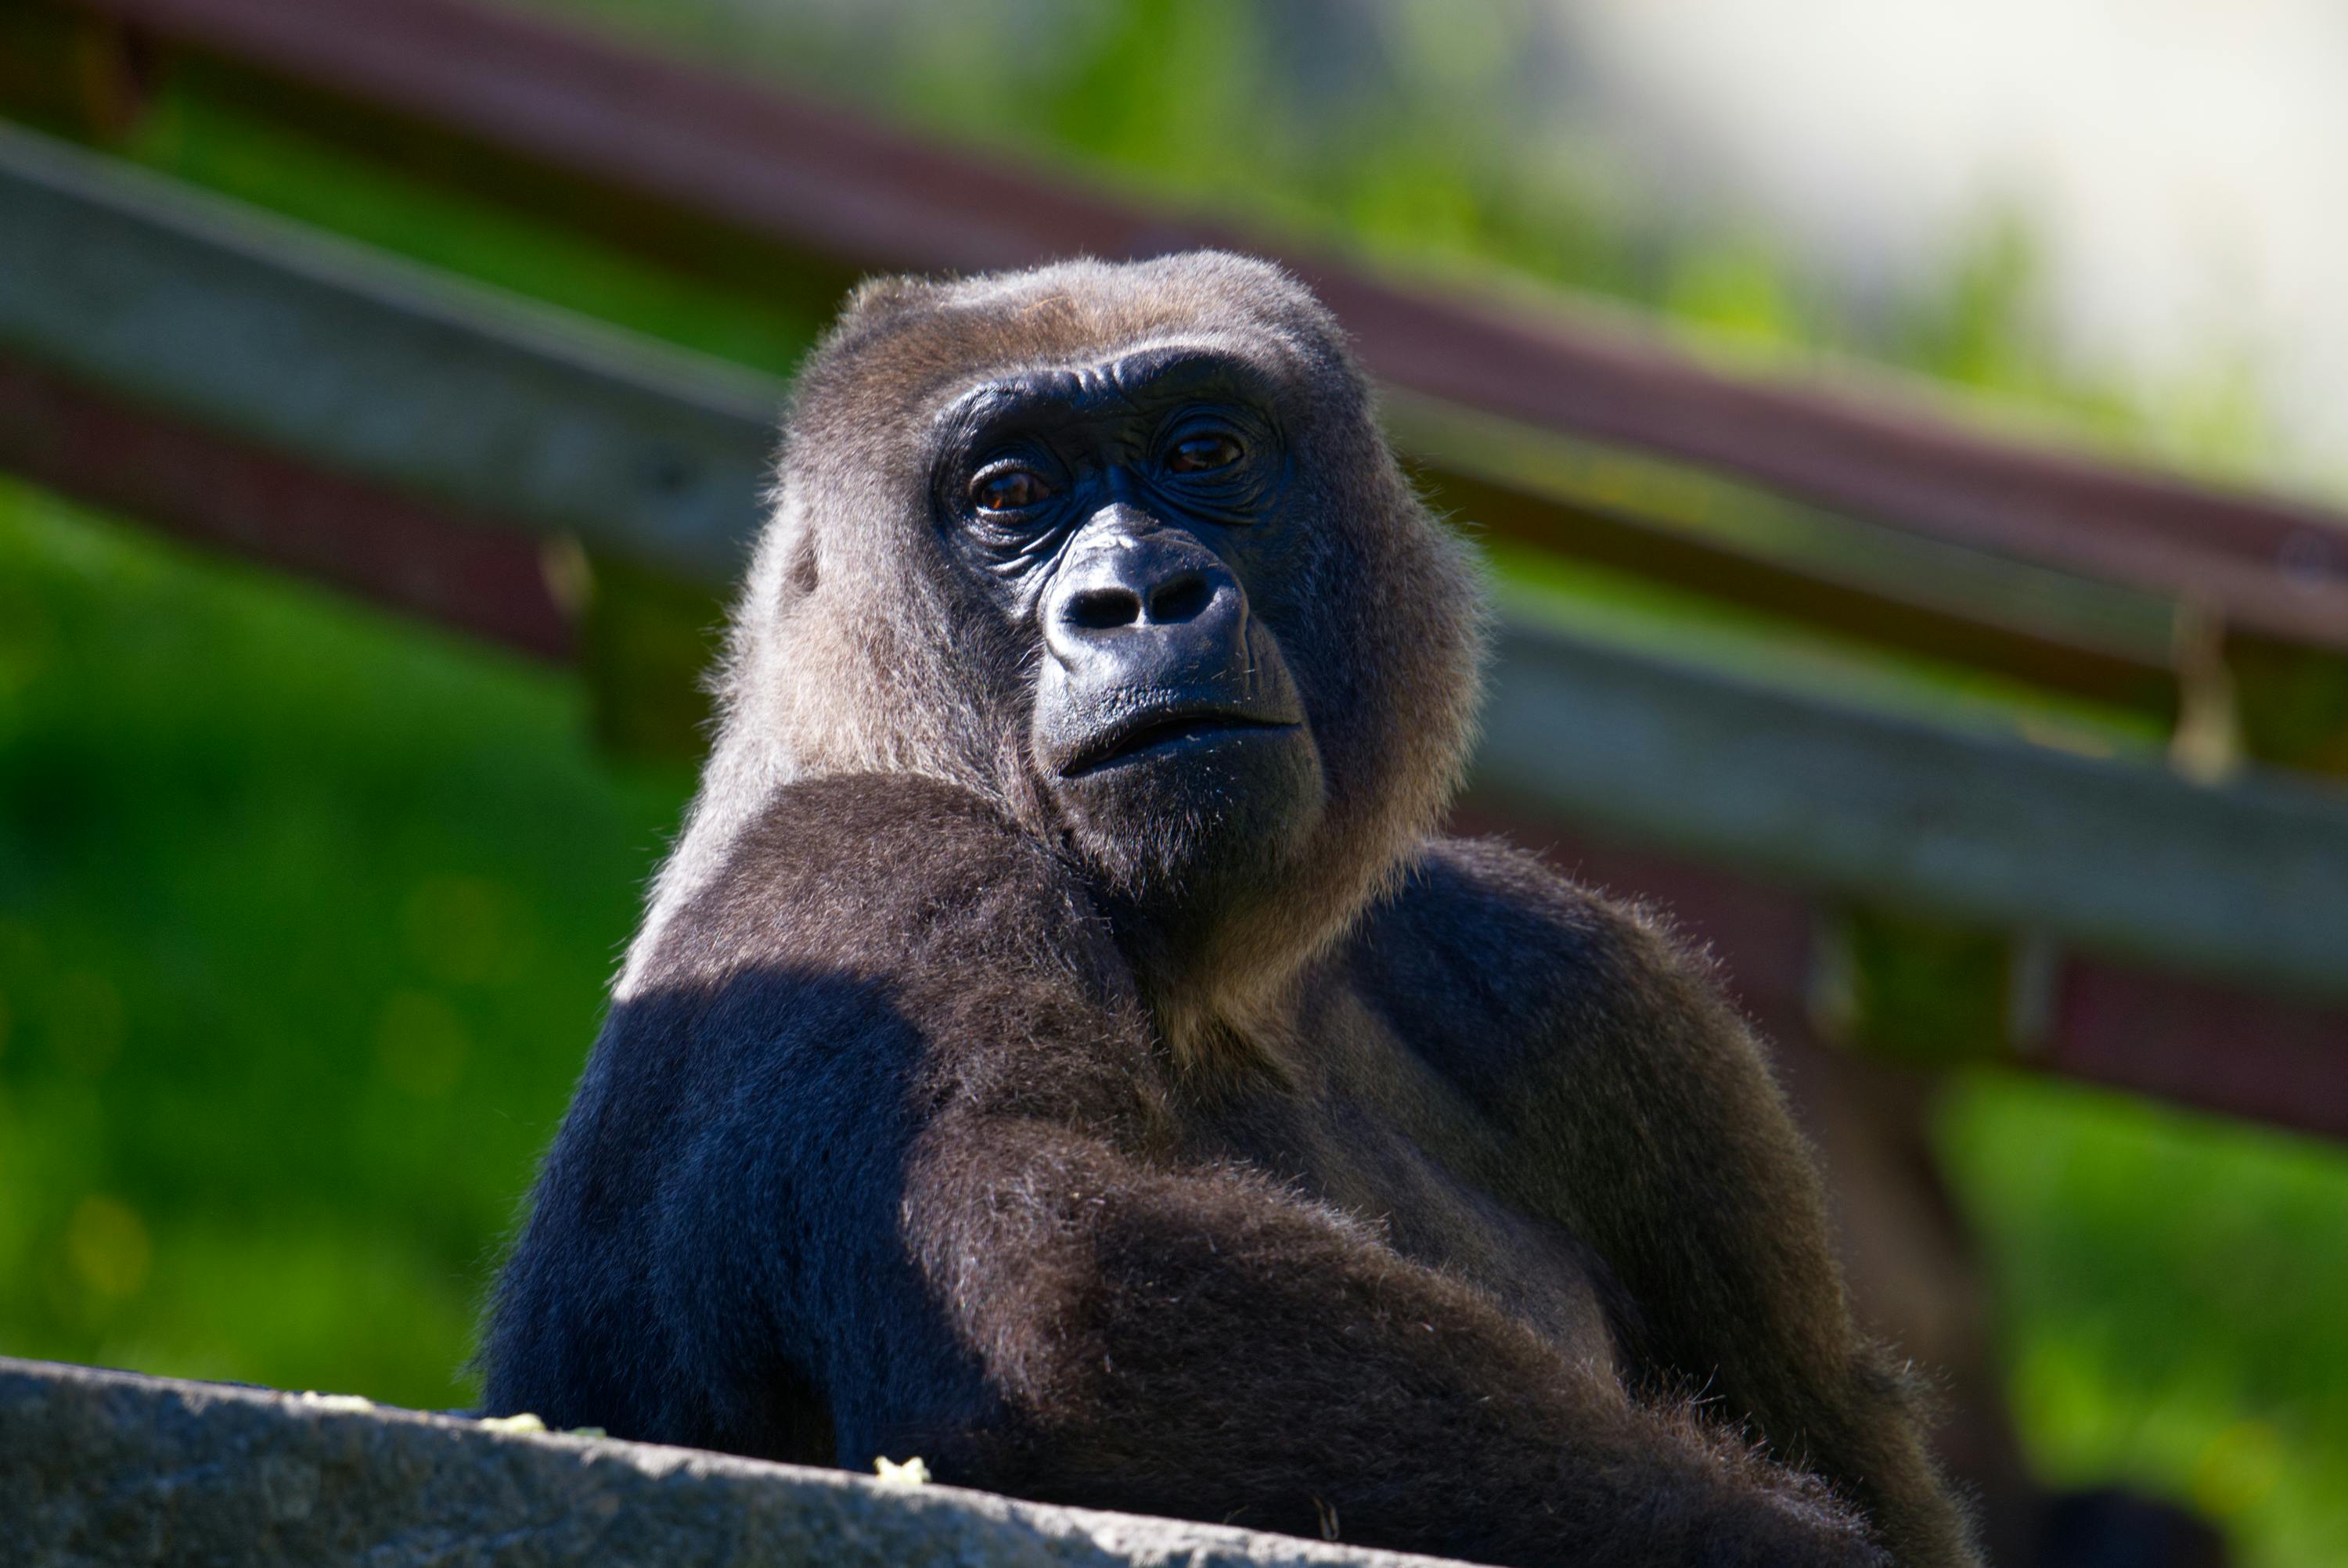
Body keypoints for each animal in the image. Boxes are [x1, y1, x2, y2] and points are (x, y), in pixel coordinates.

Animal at [480, 251, 1981, 1568]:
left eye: (1205, 453)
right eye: (1010, 490)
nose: (1141, 596)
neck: (1238, 995)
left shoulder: (1584, 978)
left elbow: (1830, 1406)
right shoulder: (856, 869)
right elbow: (1052, 1293)